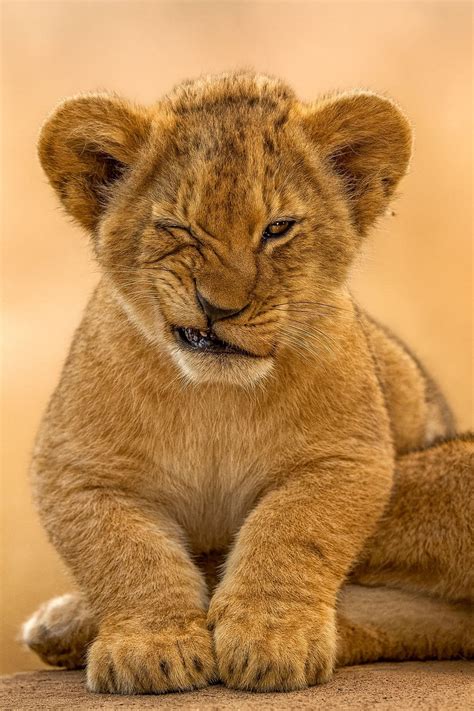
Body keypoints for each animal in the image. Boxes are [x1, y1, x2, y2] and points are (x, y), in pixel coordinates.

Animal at [22, 72, 473, 694]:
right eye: (177, 227)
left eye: (278, 229)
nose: (220, 308)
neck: (216, 397)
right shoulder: (78, 469)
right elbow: (126, 553)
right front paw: (152, 647)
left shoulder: (347, 456)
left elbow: (289, 529)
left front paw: (269, 640)